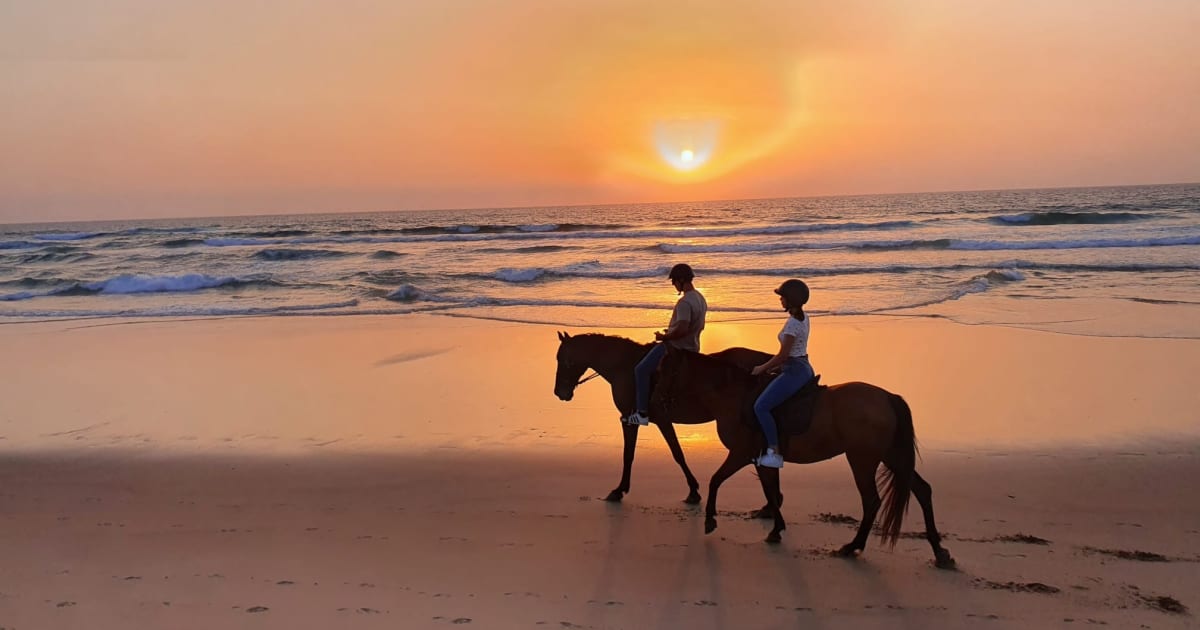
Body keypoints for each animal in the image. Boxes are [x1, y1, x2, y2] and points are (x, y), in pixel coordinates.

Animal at [553, 331, 769, 505]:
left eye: (563, 360)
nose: (559, 392)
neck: (624, 366)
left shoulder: (639, 419)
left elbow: (658, 454)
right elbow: (642, 454)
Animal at [655, 346, 955, 569]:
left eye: (664, 369)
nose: (658, 402)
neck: (735, 395)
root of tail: (888, 397)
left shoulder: (741, 454)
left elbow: (716, 480)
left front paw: (710, 520)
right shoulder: (760, 458)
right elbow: (770, 490)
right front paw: (775, 529)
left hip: (862, 460)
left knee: (872, 501)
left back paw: (852, 547)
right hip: (891, 456)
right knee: (922, 490)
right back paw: (939, 552)